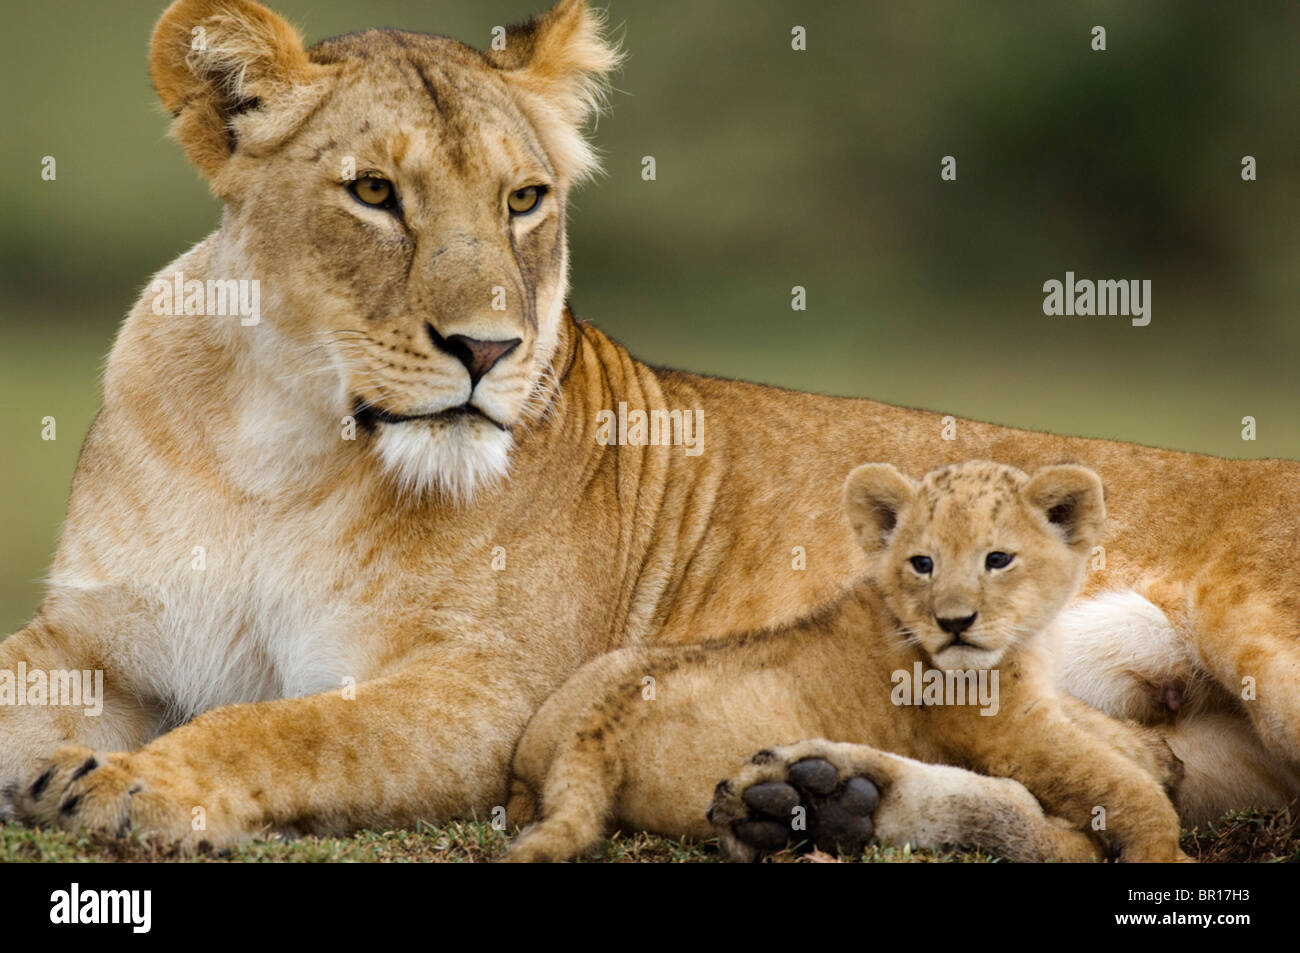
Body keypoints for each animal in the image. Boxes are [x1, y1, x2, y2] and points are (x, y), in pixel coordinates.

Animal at [503, 461, 1191, 863]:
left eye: (998, 559)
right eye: (923, 563)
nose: (954, 622)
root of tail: (596, 729)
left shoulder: (1044, 702)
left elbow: (1095, 727)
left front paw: (1159, 757)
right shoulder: (1008, 732)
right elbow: (1111, 781)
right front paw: (1160, 842)